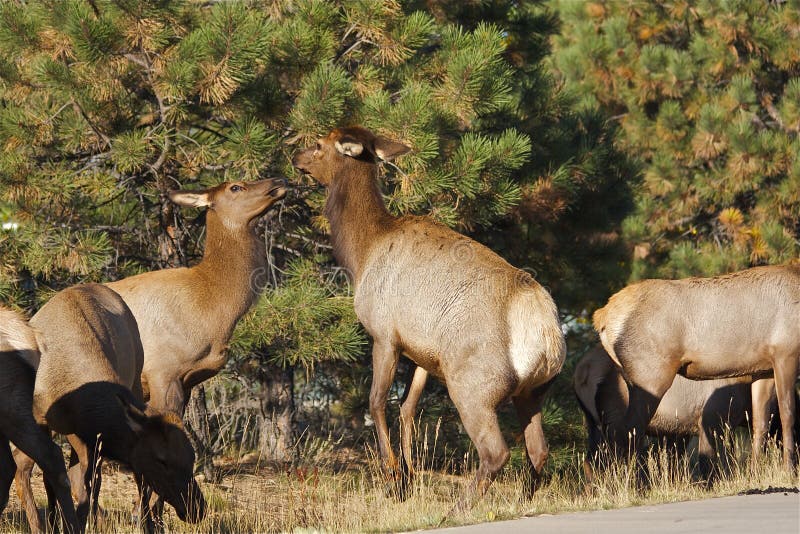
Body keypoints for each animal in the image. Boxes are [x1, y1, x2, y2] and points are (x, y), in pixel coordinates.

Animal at [13, 283, 205, 533]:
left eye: (192, 457)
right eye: (162, 460)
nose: (197, 509)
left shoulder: (92, 439)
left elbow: (92, 482)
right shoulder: (44, 421)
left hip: (136, 374)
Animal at [293, 126, 566, 508]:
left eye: (318, 144)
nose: (295, 157)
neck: (362, 252)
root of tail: (546, 329)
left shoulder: (384, 334)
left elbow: (376, 402)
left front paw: (394, 476)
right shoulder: (421, 353)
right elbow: (409, 407)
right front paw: (408, 478)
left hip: (473, 384)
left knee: (496, 452)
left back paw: (459, 507)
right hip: (534, 390)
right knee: (538, 450)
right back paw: (523, 501)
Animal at [593, 265, 800, 474]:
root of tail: (602, 317)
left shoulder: (763, 368)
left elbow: (761, 422)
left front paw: (755, 471)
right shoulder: (785, 353)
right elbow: (787, 414)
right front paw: (789, 470)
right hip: (651, 377)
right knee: (629, 431)